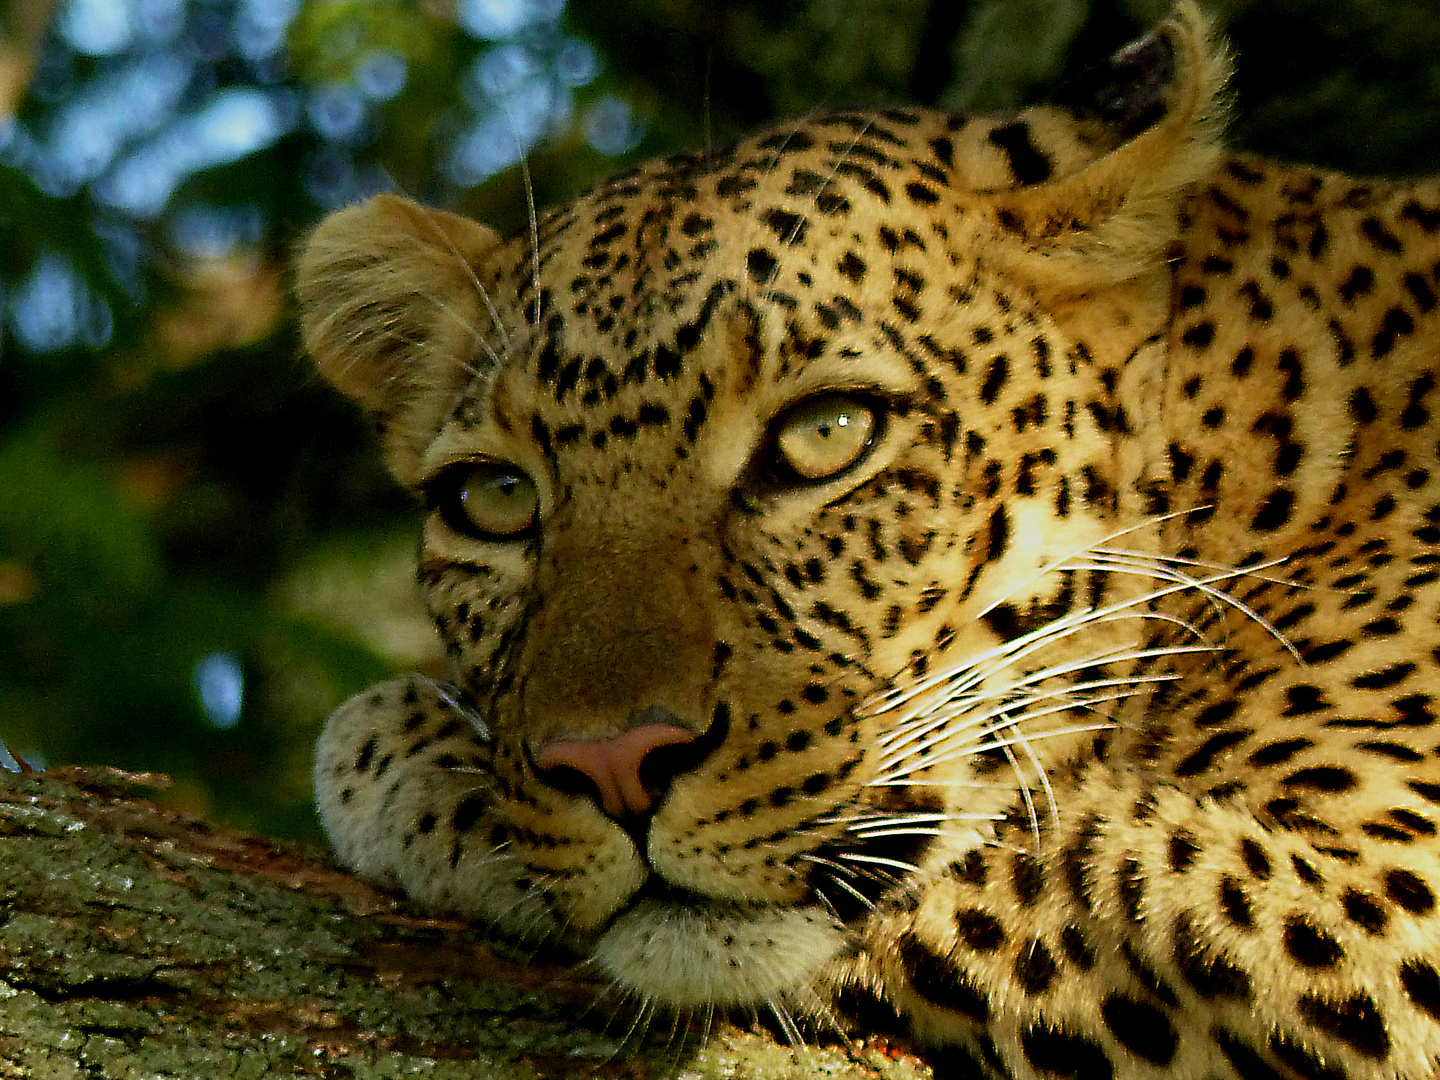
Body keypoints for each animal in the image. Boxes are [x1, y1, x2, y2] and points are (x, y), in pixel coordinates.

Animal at [295, 5, 1440, 1077]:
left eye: (826, 434)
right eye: (495, 498)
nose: (613, 766)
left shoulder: (1385, 900)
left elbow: (1072, 861)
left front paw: (402, 755)